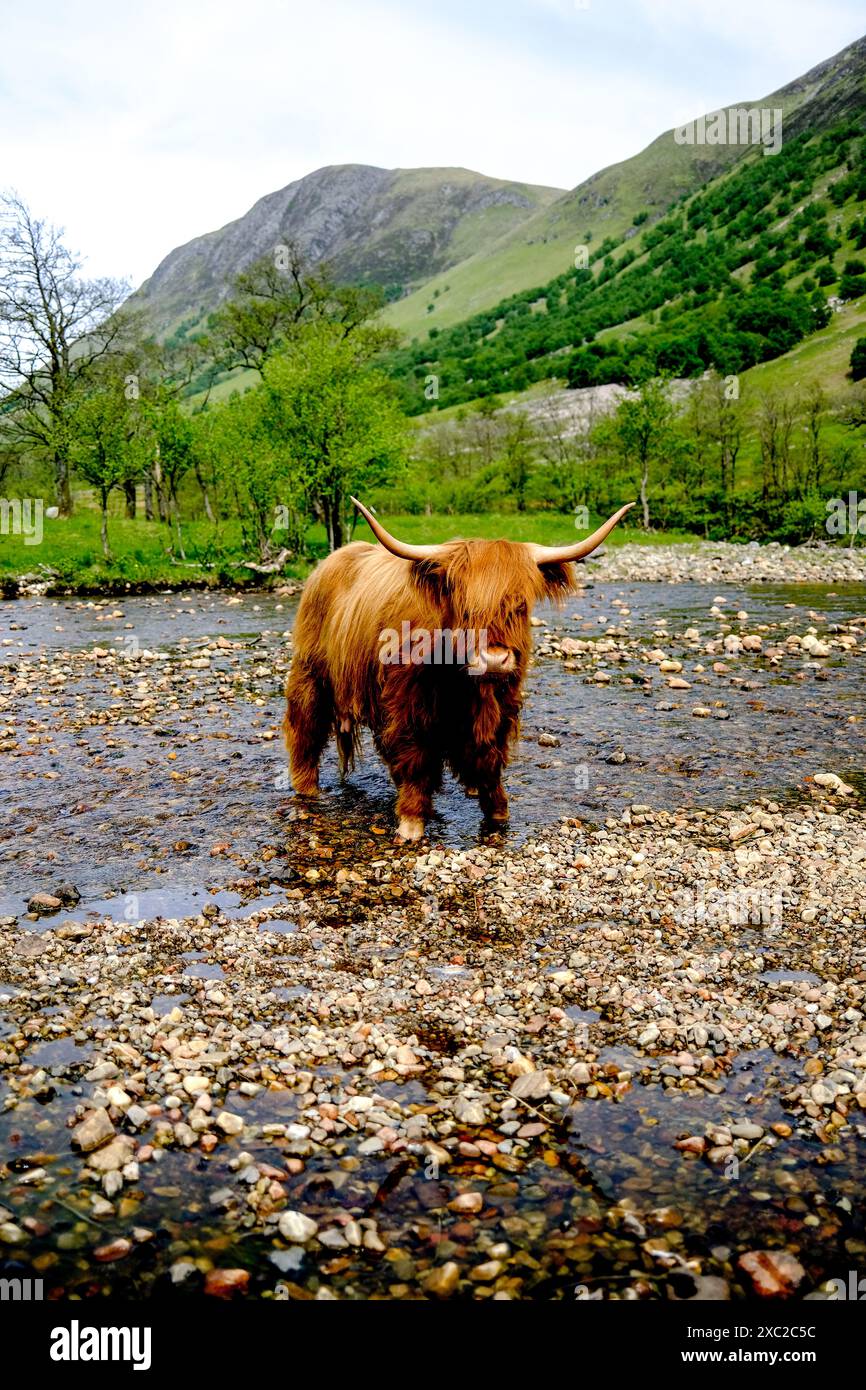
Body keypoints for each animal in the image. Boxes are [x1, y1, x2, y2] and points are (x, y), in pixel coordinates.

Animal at [283, 497, 633, 841]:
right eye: (465, 609)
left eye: (520, 605)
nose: (493, 660)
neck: (460, 681)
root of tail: (336, 557)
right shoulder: (407, 706)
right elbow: (413, 757)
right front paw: (411, 823)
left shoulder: (502, 706)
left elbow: (490, 759)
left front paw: (498, 811)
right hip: (310, 673)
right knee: (305, 728)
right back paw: (308, 789)